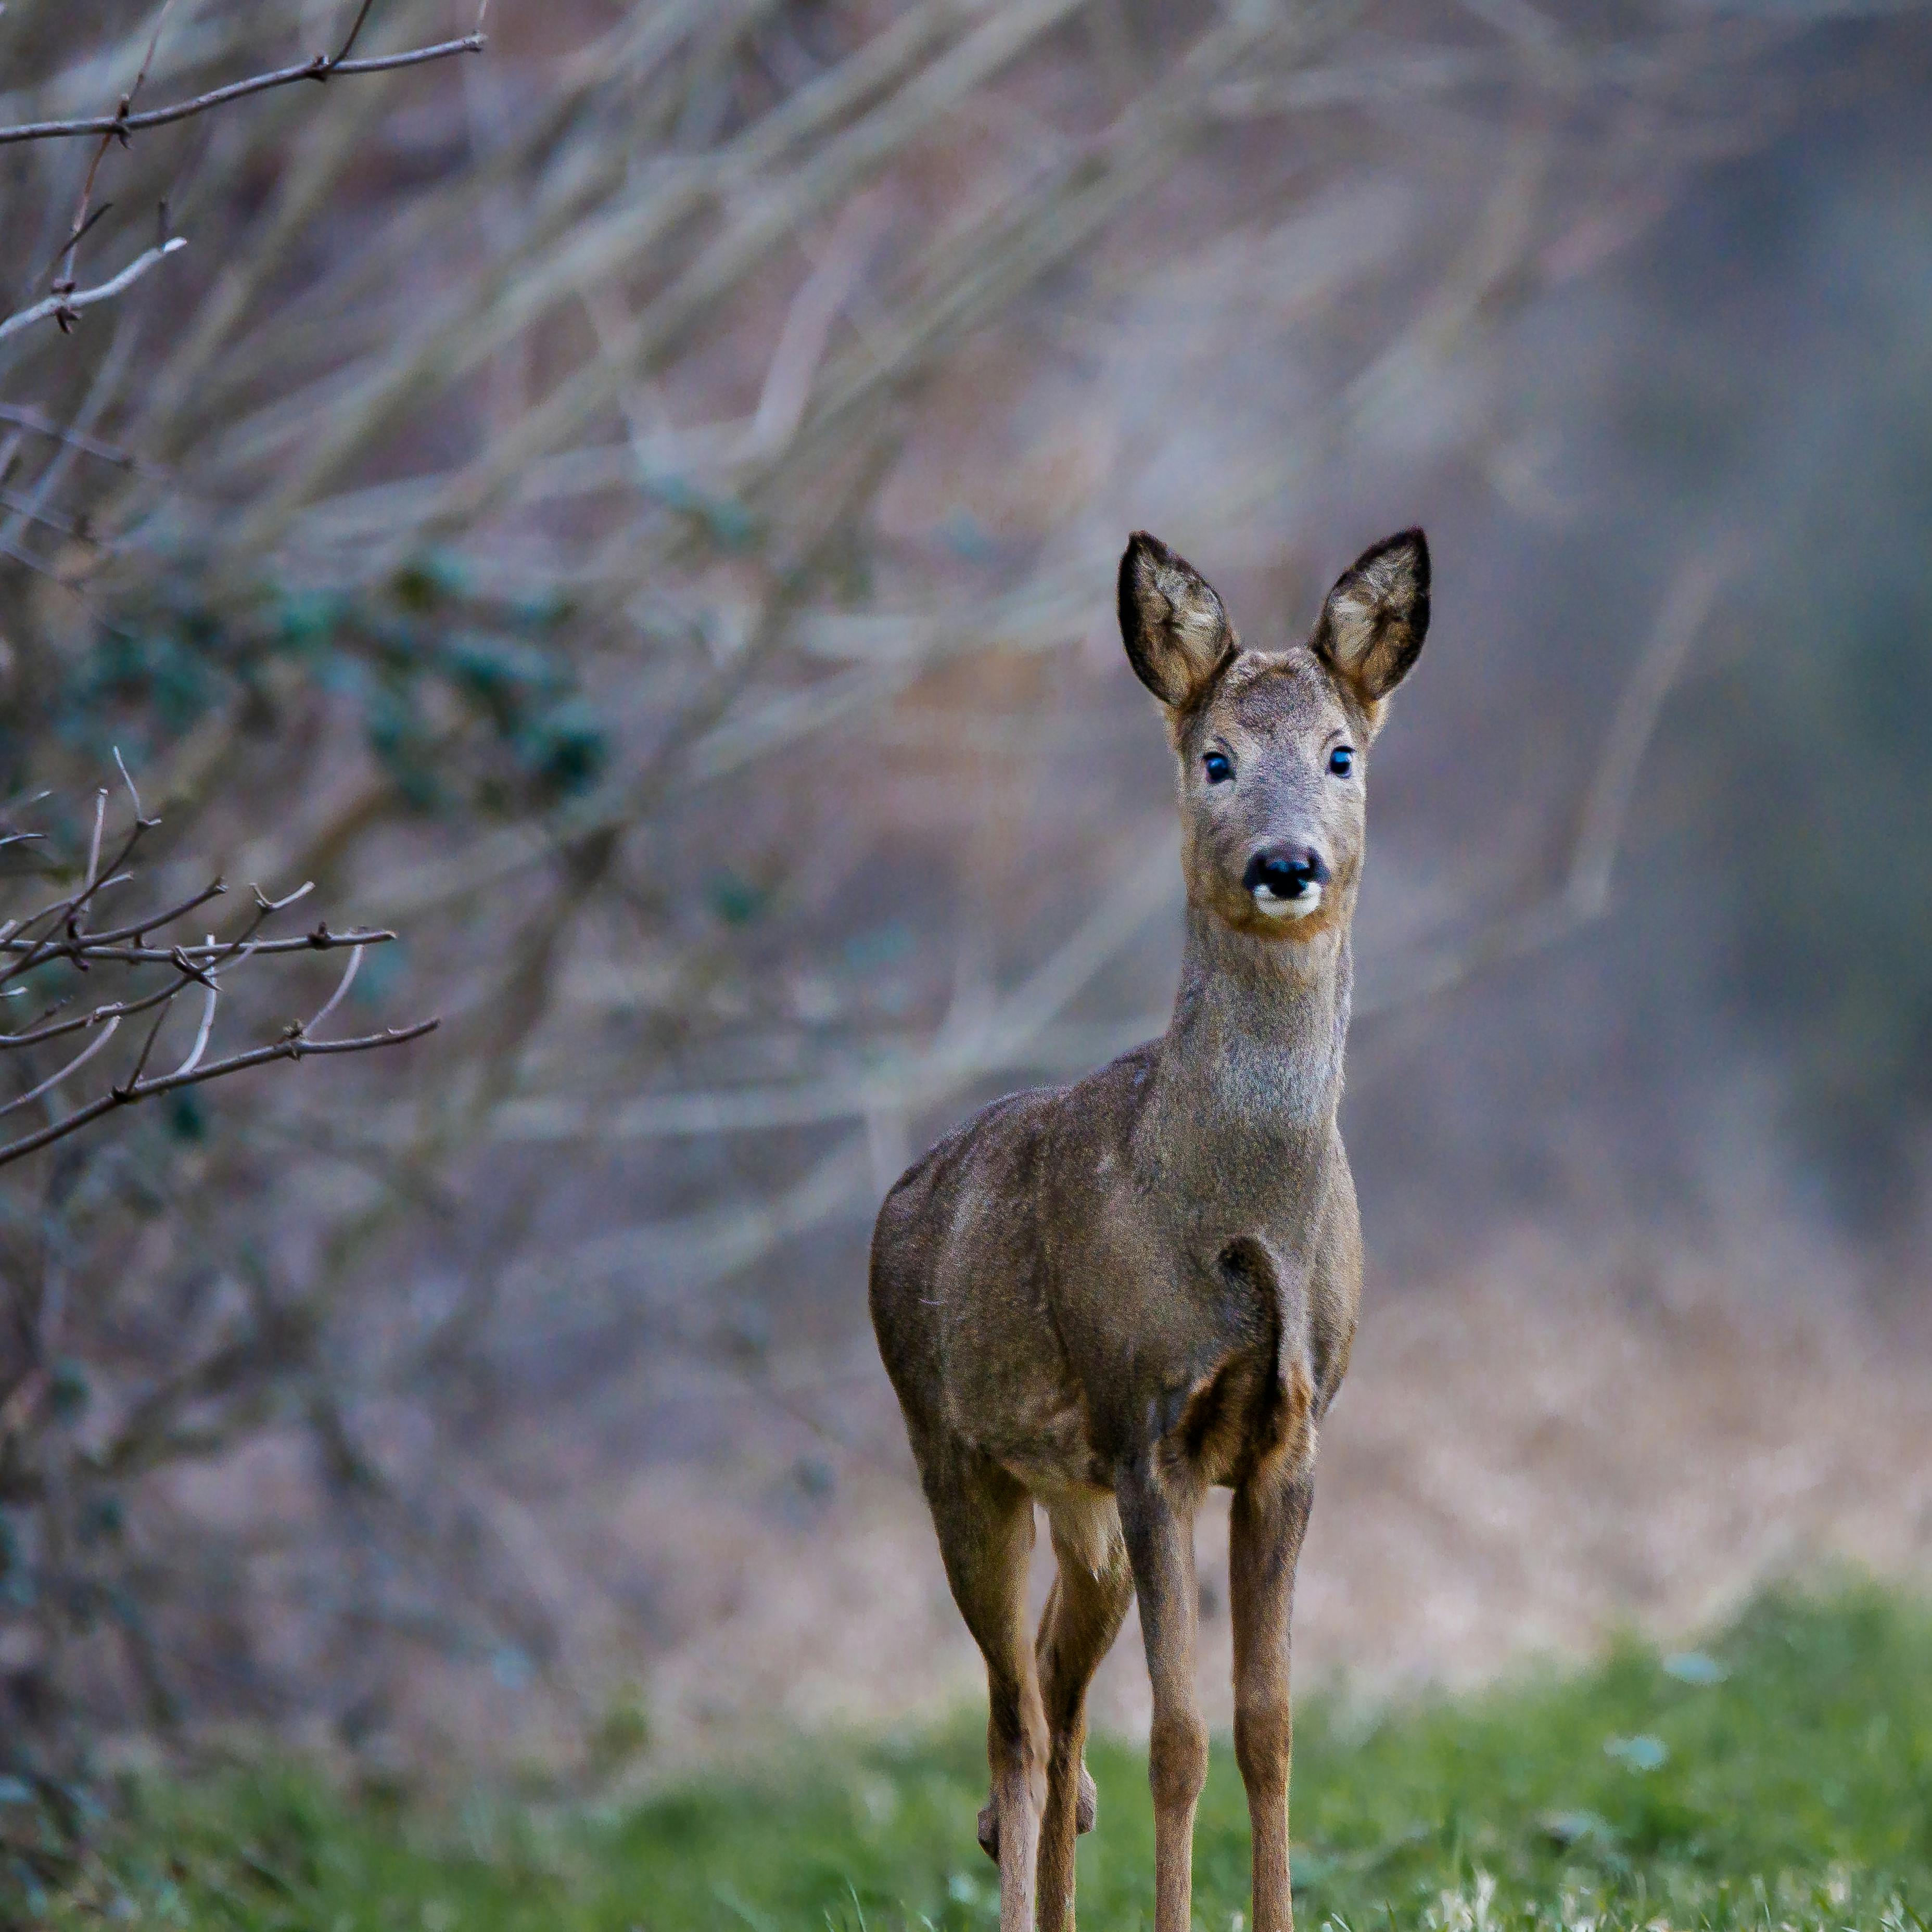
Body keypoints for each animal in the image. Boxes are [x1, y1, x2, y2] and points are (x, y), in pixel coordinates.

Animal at [869, 526, 1432, 1932]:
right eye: (1213, 757)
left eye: (1340, 753)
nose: (1284, 863)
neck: (1241, 1212)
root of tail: (899, 1199)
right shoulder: (1147, 1425)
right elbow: (1176, 1736)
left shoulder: (1292, 1433)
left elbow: (1267, 1724)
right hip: (954, 1453)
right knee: (1014, 1722)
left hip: (1073, 1505)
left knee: (1057, 1707)